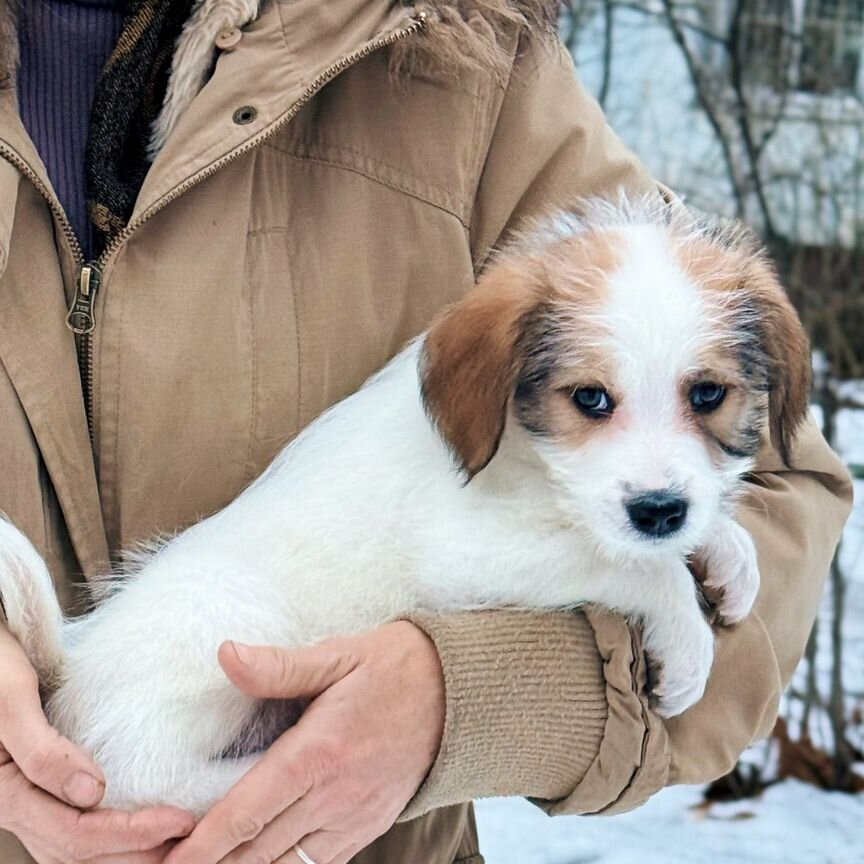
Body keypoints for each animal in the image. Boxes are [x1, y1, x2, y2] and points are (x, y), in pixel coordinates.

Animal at [0, 197, 808, 816]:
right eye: (589, 399)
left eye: (709, 394)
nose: (660, 509)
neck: (526, 457)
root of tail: (71, 664)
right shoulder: (471, 554)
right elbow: (631, 566)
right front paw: (689, 645)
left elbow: (669, 541)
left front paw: (729, 557)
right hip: (237, 624)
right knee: (138, 780)